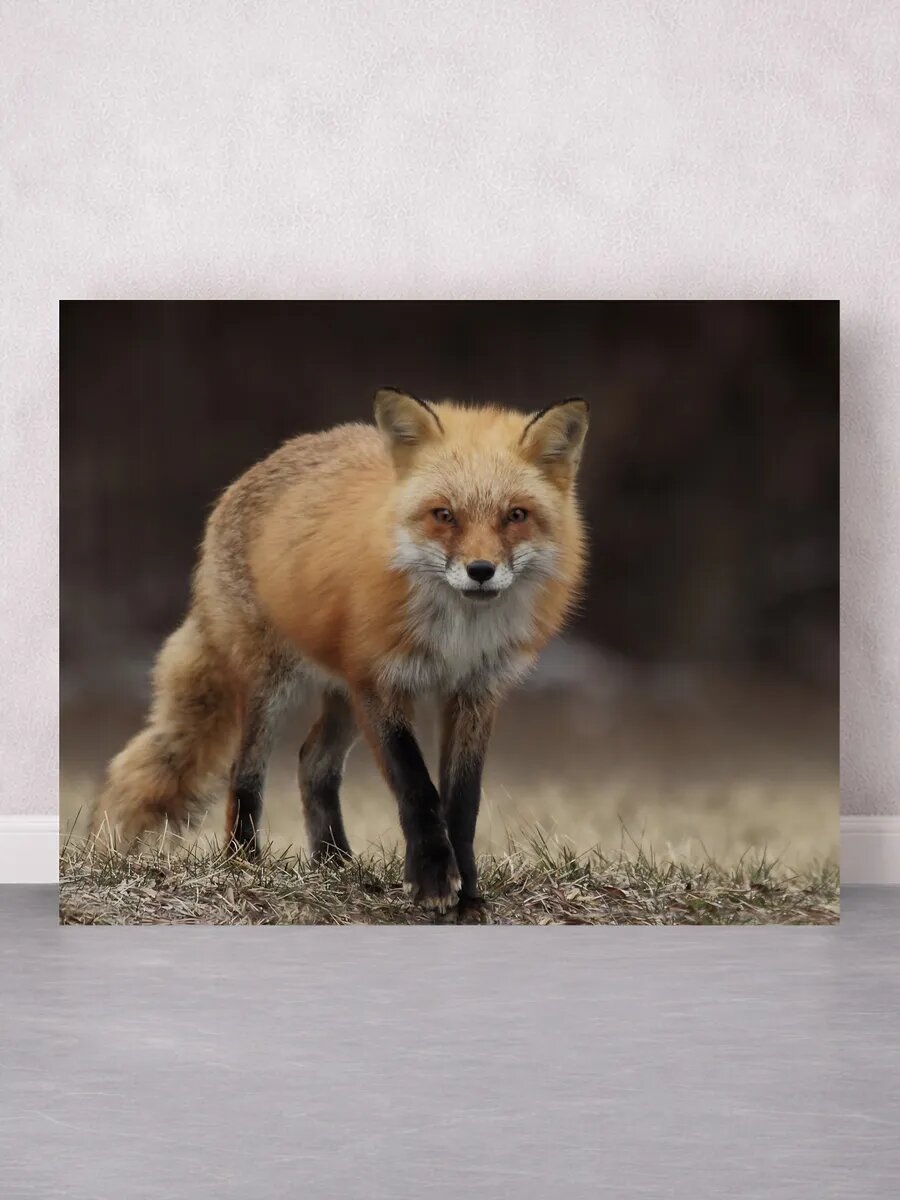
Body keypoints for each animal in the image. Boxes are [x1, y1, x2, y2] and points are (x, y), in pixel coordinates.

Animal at [90, 389, 589, 918]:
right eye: (443, 515)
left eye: (516, 515)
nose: (480, 570)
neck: (457, 635)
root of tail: (258, 468)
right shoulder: (381, 683)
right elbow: (417, 787)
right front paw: (433, 879)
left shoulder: (475, 693)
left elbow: (462, 802)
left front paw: (467, 894)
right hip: (275, 686)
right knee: (245, 771)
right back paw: (245, 862)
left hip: (344, 696)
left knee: (313, 763)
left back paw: (334, 863)